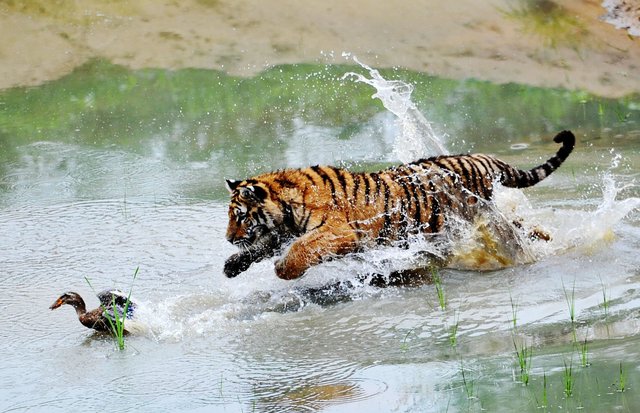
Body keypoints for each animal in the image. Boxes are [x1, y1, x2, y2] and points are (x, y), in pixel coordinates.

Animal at [223, 130, 575, 280]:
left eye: (240, 216)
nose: (227, 238)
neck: (288, 209)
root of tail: (478, 157)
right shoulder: (282, 231)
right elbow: (260, 246)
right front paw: (231, 265)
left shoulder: (337, 231)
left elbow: (303, 247)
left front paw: (283, 270)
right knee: (521, 227)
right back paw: (548, 240)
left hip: (473, 219)